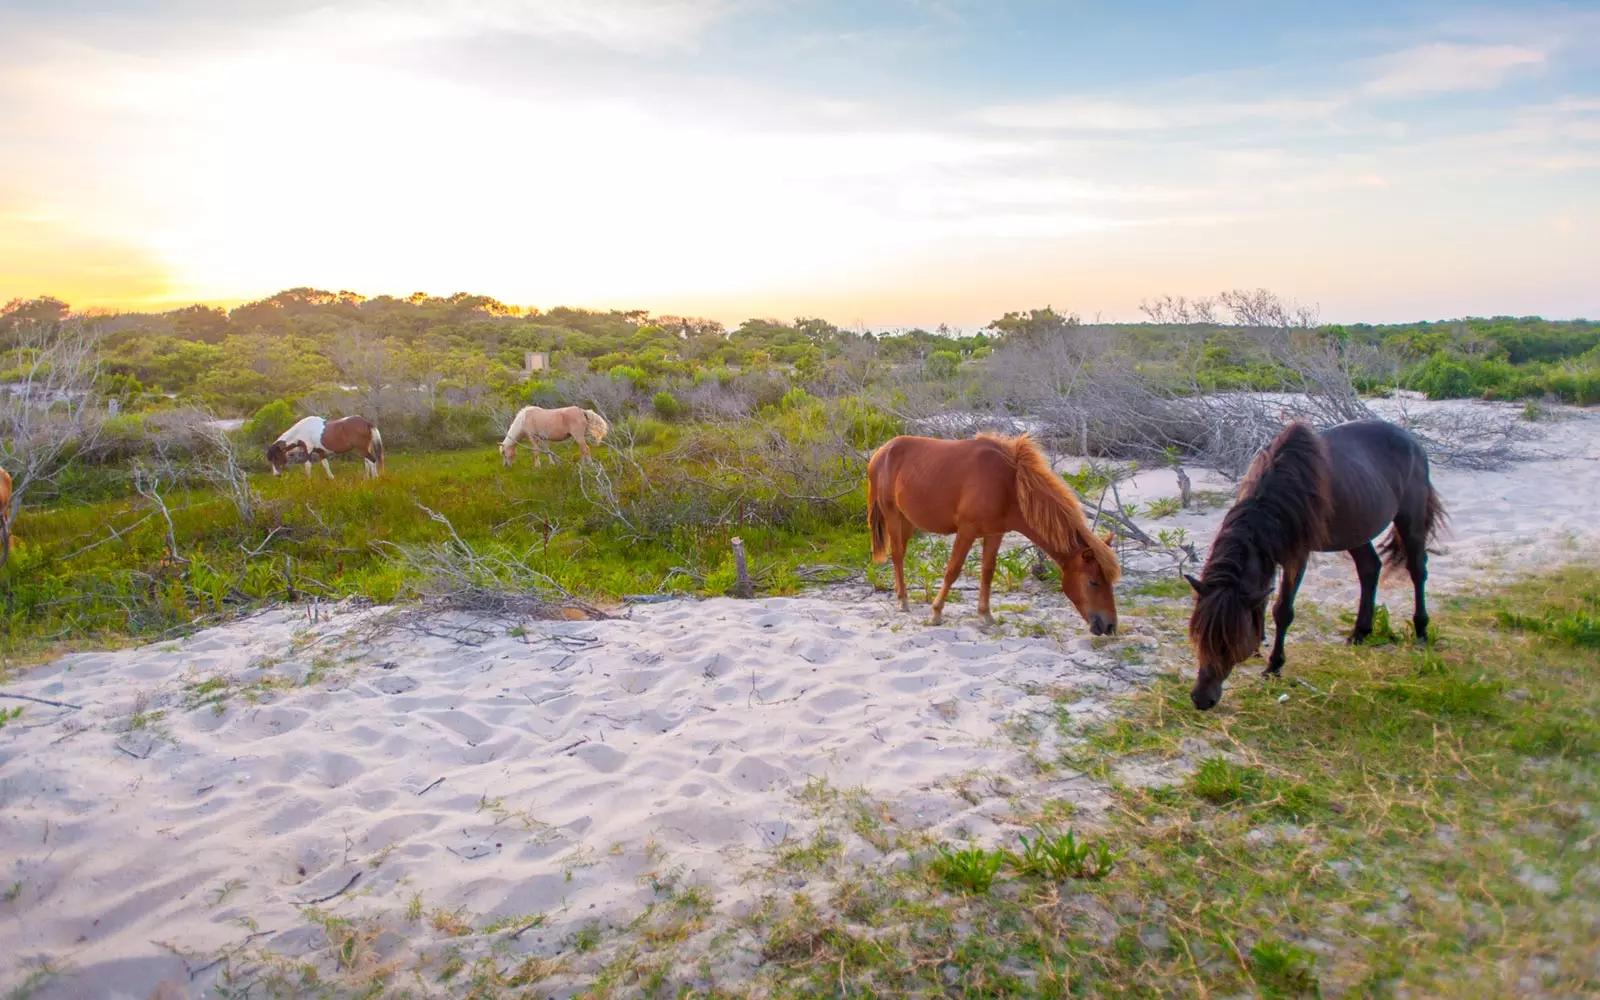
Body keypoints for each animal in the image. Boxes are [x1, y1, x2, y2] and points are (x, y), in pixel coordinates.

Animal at [870, 432, 1120, 630]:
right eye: (1093, 582)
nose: (1110, 626)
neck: (1008, 486)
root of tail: (881, 452)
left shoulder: (994, 533)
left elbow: (987, 572)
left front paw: (986, 614)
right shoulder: (967, 530)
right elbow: (952, 570)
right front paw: (936, 612)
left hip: (907, 521)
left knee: (900, 553)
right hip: (892, 516)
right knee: (897, 555)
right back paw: (903, 601)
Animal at [1190, 419, 1452, 710]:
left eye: (1228, 644)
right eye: (1198, 636)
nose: (1201, 699)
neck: (1276, 493)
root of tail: (1413, 441)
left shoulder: (1297, 554)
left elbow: (1282, 611)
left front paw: (1274, 666)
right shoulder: (1267, 554)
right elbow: (1262, 601)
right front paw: (1259, 643)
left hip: (1409, 520)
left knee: (1417, 570)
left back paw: (1421, 630)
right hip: (1356, 528)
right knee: (1370, 569)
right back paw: (1360, 633)